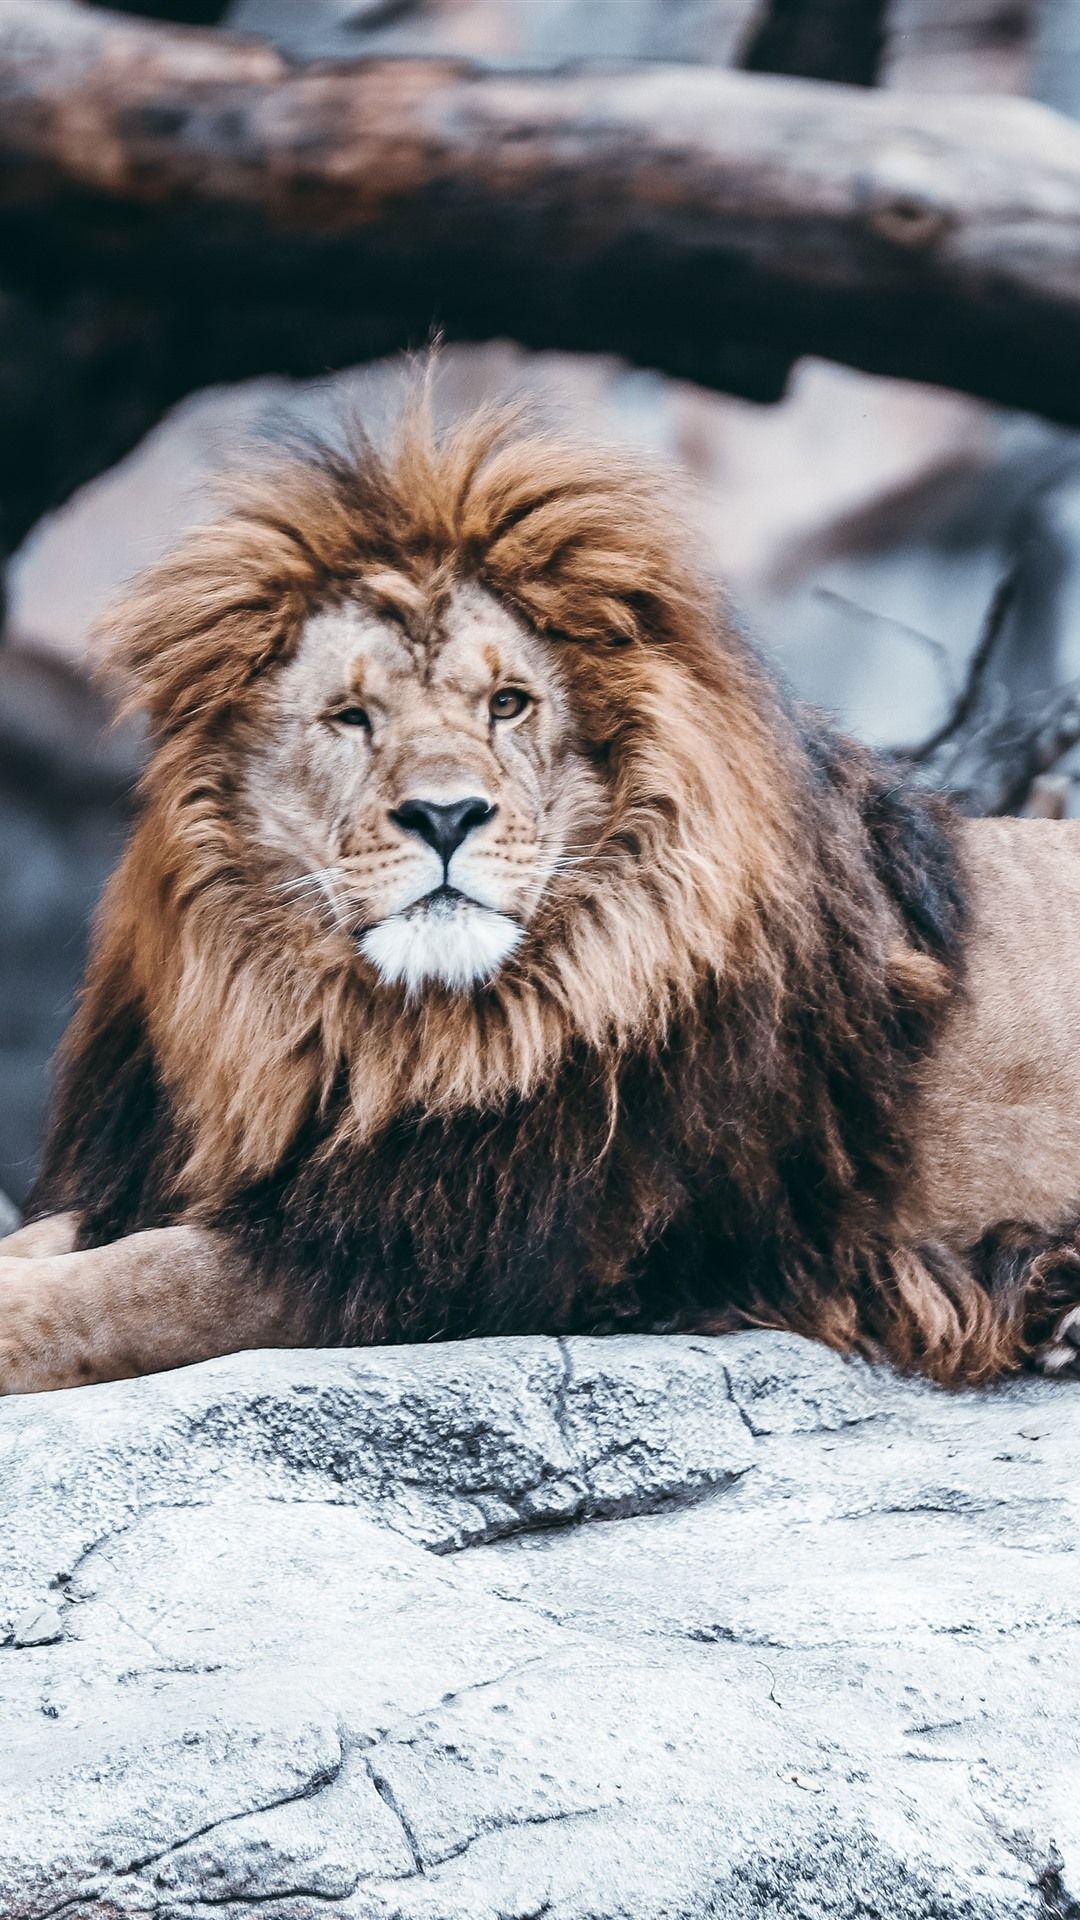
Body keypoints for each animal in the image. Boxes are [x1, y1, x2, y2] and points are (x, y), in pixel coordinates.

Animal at [4, 406, 1080, 1395]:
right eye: (350, 718)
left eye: (508, 704)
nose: (445, 815)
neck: (351, 1028)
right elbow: (60, 1240)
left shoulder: (422, 1252)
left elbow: (134, 1287)